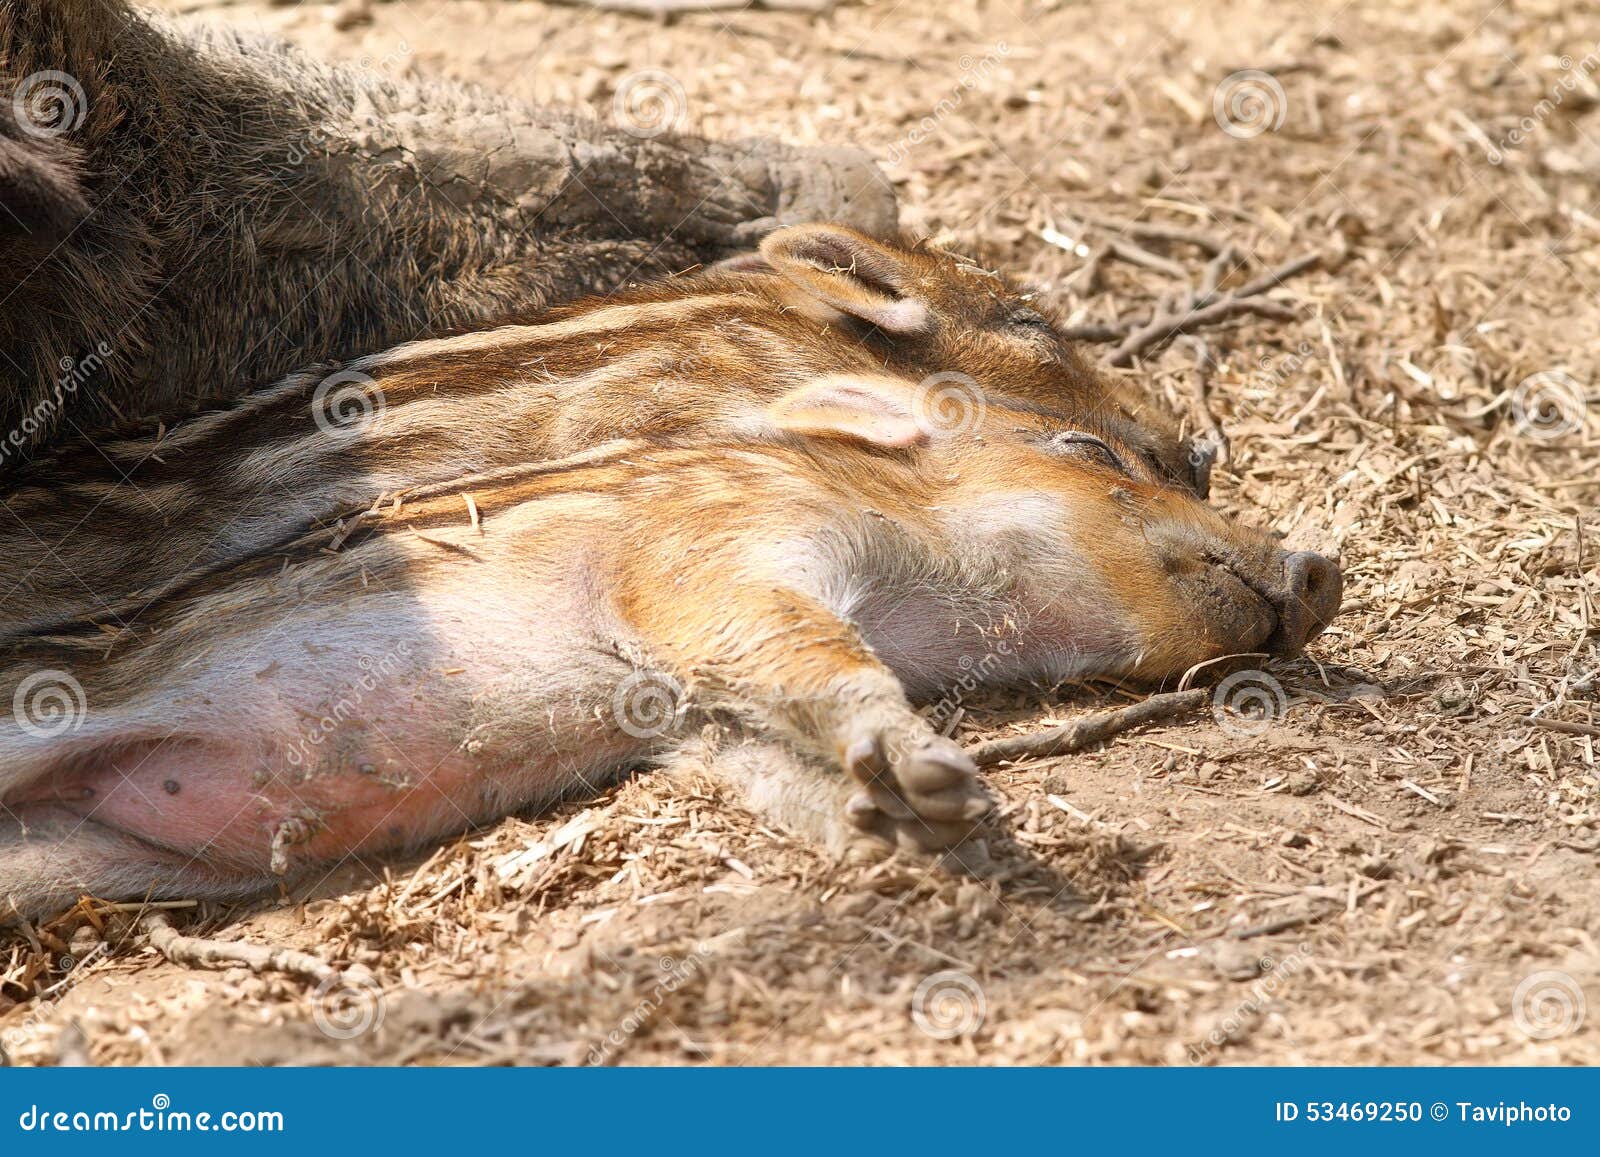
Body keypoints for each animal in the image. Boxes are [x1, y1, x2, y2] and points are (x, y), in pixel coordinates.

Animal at [0, 372, 1340, 921]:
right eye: (1095, 452)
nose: (1319, 570)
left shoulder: (691, 716)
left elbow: (776, 770)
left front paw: (907, 821)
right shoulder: (710, 568)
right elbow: (830, 665)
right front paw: (939, 779)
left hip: (91, 853)